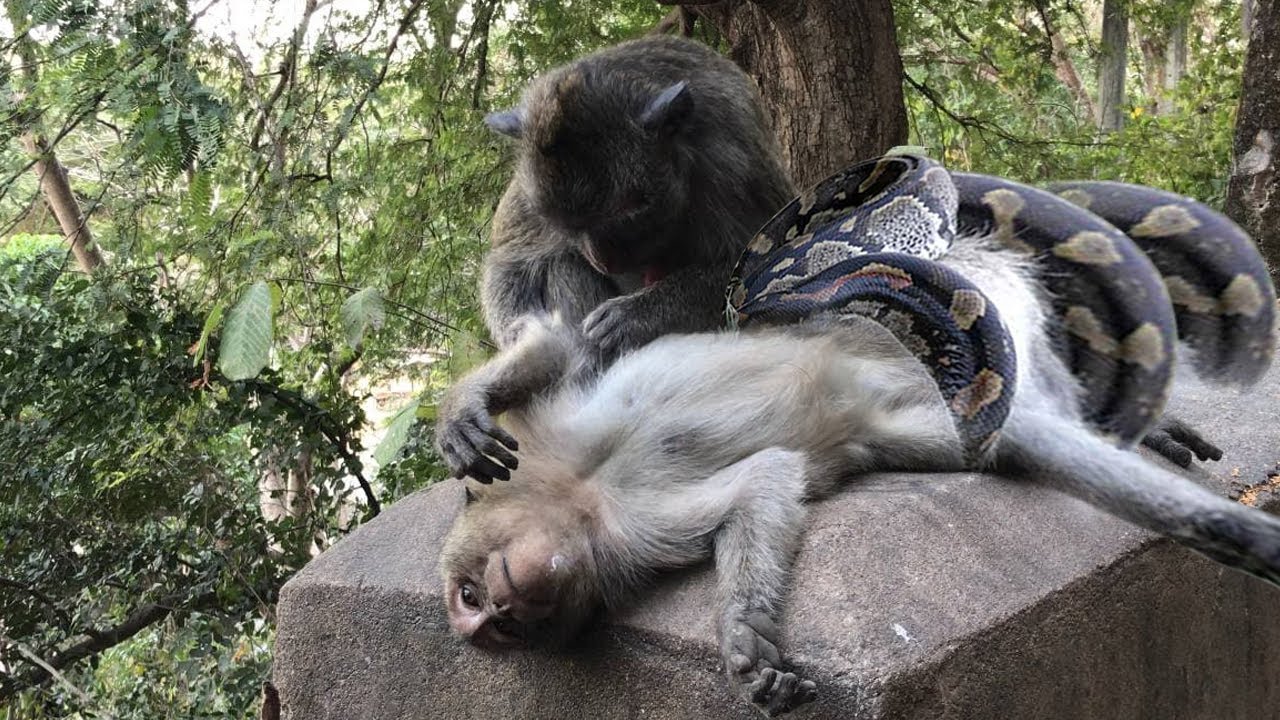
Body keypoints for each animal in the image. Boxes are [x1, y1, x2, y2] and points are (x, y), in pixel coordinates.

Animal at [437, 35, 796, 482]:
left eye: (630, 210)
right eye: (568, 224)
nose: (602, 259)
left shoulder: (732, 159)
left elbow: (759, 260)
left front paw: (636, 315)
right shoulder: (531, 188)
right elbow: (511, 264)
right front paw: (481, 386)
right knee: (561, 267)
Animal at [438, 237, 1280, 717]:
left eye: (472, 598)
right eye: (488, 621)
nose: (493, 620)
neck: (578, 497)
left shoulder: (556, 459)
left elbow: (563, 351)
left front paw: (463, 412)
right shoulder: (624, 542)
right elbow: (764, 479)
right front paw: (748, 648)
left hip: (905, 306)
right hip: (918, 411)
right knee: (989, 440)